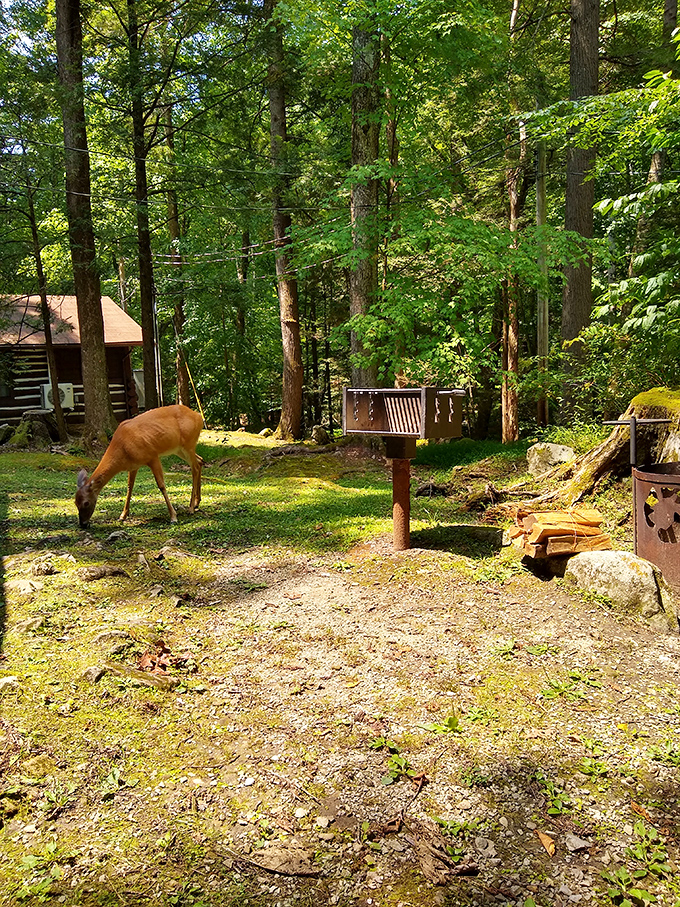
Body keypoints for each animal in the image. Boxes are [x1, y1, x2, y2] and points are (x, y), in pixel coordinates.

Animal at [75, 404, 204, 529]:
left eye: (86, 503)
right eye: (75, 503)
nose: (83, 524)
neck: (122, 449)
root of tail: (198, 416)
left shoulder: (152, 456)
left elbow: (161, 485)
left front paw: (173, 516)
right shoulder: (133, 466)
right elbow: (129, 487)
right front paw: (122, 516)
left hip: (188, 444)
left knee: (195, 467)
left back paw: (191, 508)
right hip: (179, 449)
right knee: (200, 460)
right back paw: (197, 502)